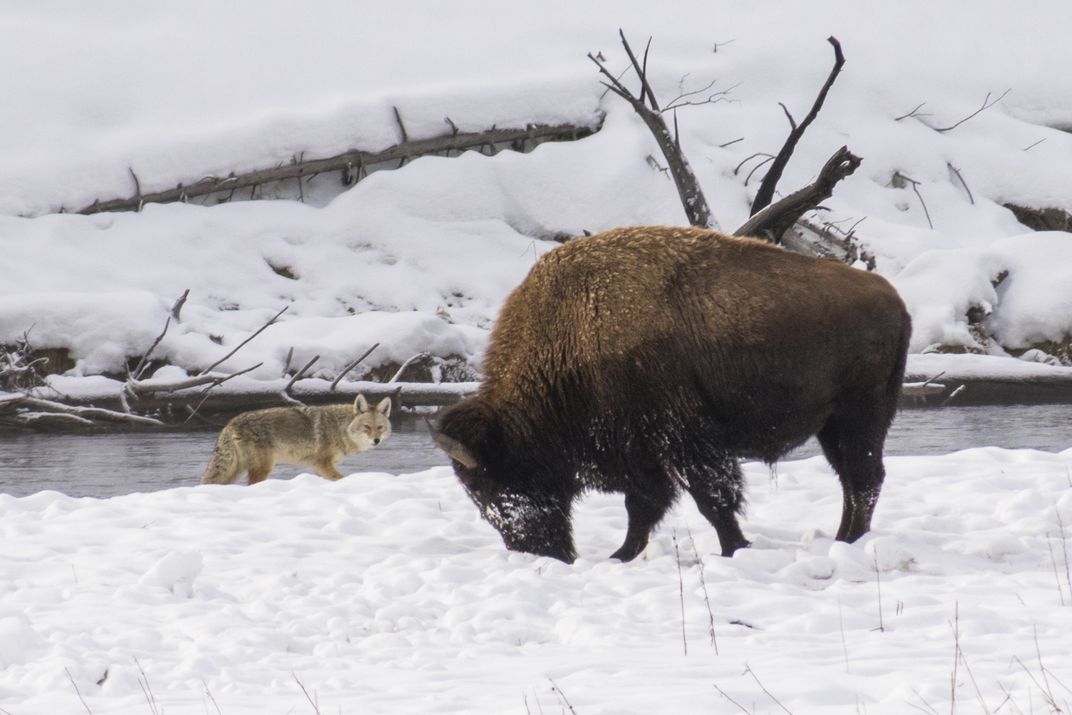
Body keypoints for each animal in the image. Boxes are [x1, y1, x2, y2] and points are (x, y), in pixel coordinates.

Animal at [432, 226, 911, 563]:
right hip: (833, 426)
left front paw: (734, 549)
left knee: (864, 478)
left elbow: (710, 498)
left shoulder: (682, 439)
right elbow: (643, 507)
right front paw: (621, 555)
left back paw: (850, 541)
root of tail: (895, 301)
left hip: (860, 416)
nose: (533, 550)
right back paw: (843, 539)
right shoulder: (640, 452)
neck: (573, 332)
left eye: (495, 482)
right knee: (852, 480)